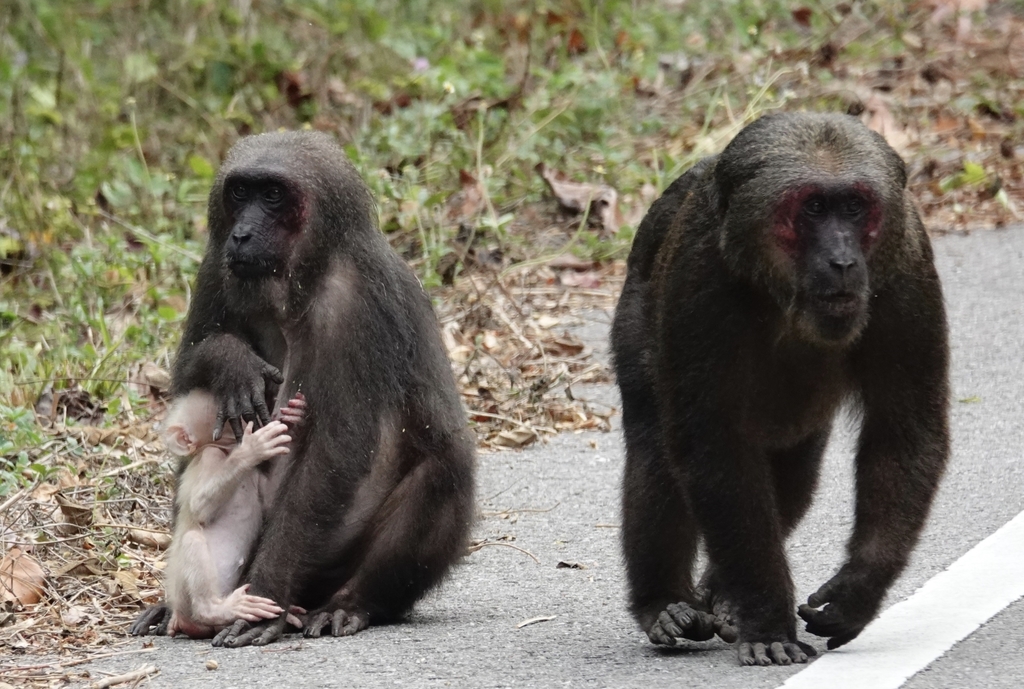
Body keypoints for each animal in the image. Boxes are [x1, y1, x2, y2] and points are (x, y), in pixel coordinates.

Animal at [159, 391, 306, 639]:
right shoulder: (210, 455)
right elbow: (198, 507)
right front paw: (250, 450)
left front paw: (295, 417)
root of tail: (178, 617)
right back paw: (216, 609)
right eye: (227, 420)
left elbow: (271, 501)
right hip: (184, 601)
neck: (226, 452)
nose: (250, 423)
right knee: (192, 540)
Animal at [611, 112, 949, 667]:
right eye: (812, 208)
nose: (842, 260)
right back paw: (664, 603)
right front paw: (768, 618)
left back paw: (724, 596)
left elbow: (904, 430)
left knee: (793, 466)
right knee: (659, 448)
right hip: (635, 313)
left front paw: (859, 589)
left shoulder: (906, 267)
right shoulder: (699, 275)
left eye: (854, 207)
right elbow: (713, 447)